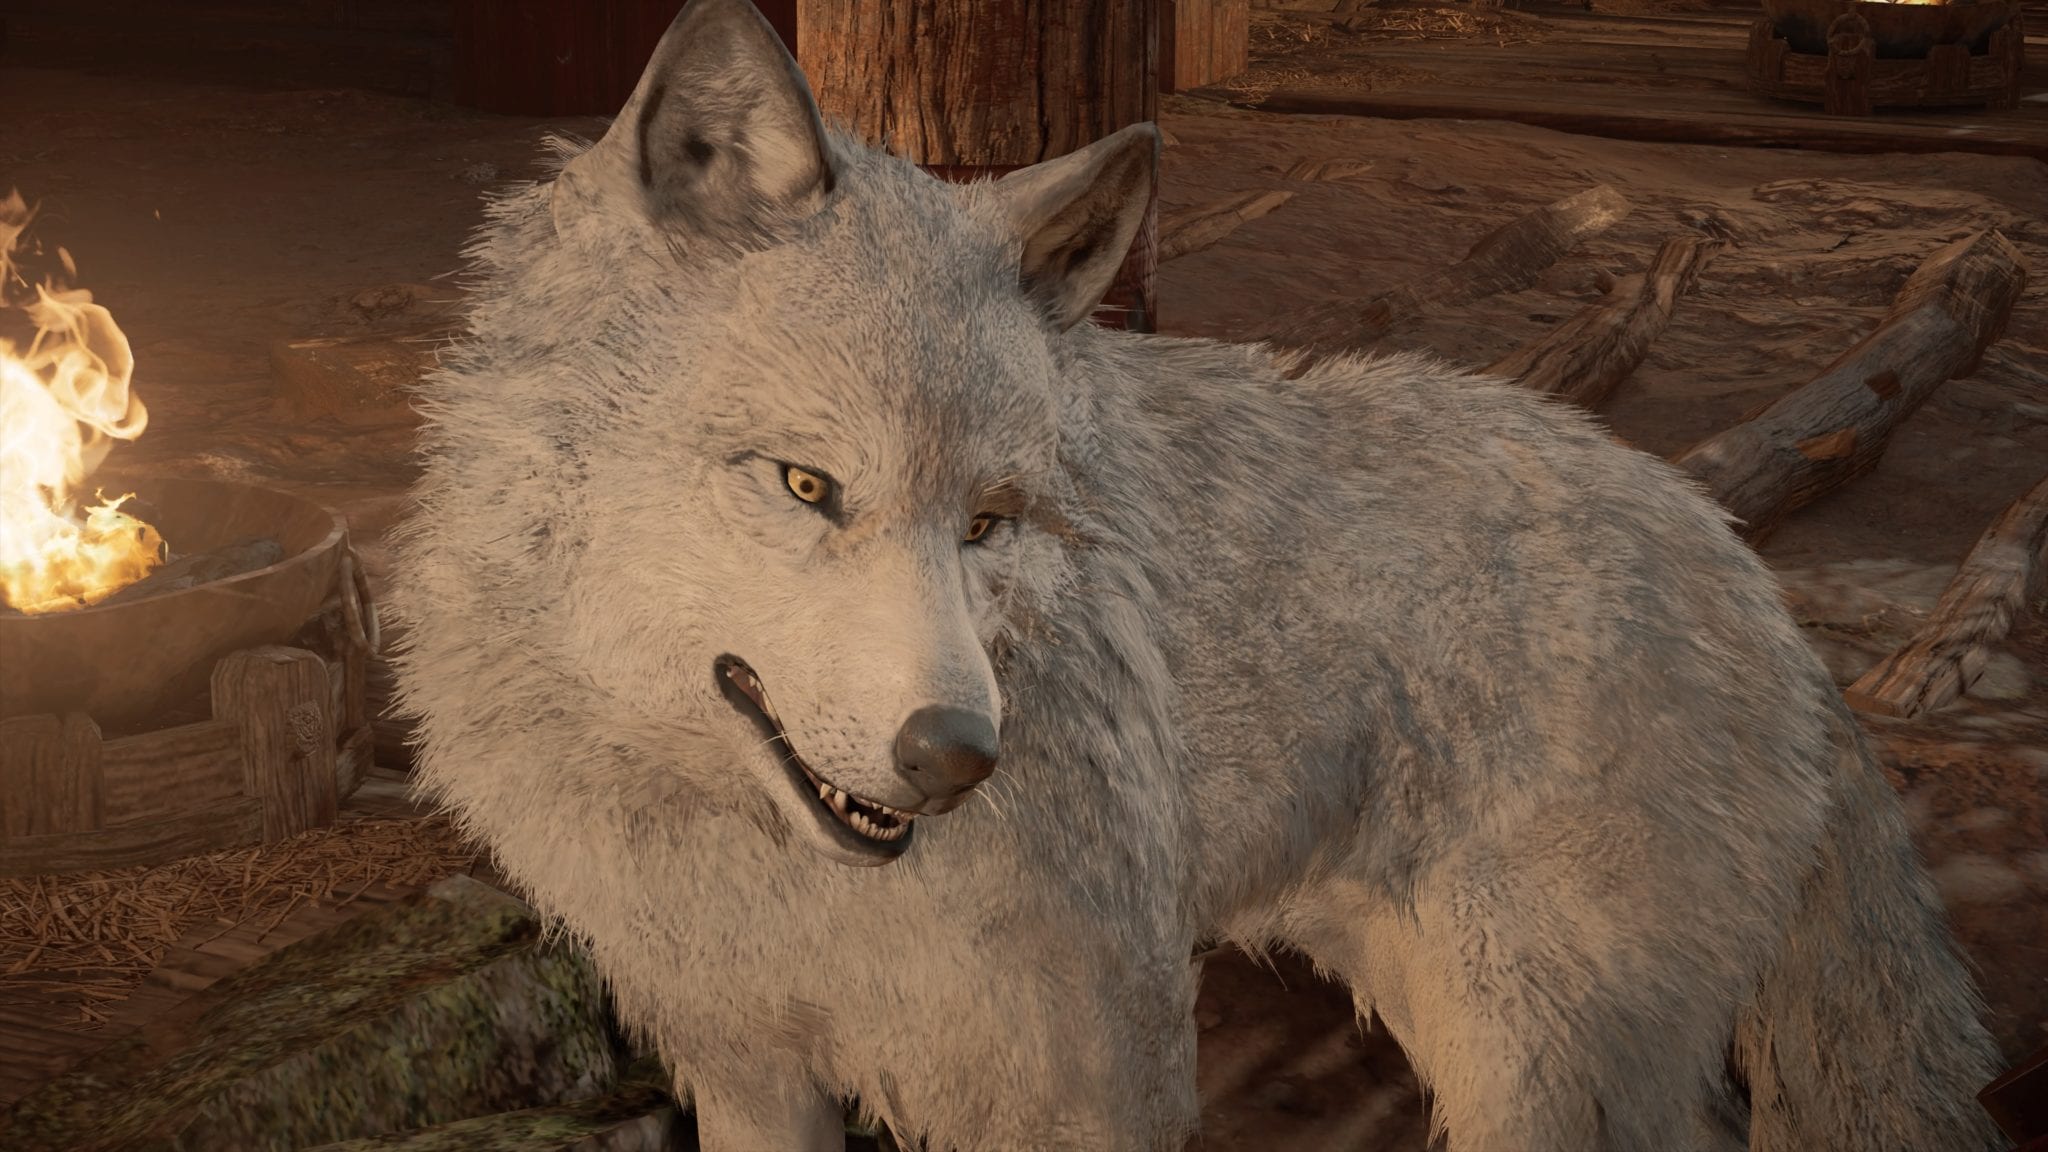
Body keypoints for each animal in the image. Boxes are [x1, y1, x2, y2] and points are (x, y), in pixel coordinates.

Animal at [386, 1, 2008, 1148]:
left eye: (990, 522)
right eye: (805, 486)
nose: (959, 758)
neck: (751, 854)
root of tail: (1740, 563)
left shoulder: (1078, 1075)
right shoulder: (746, 1062)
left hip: (1534, 1062)